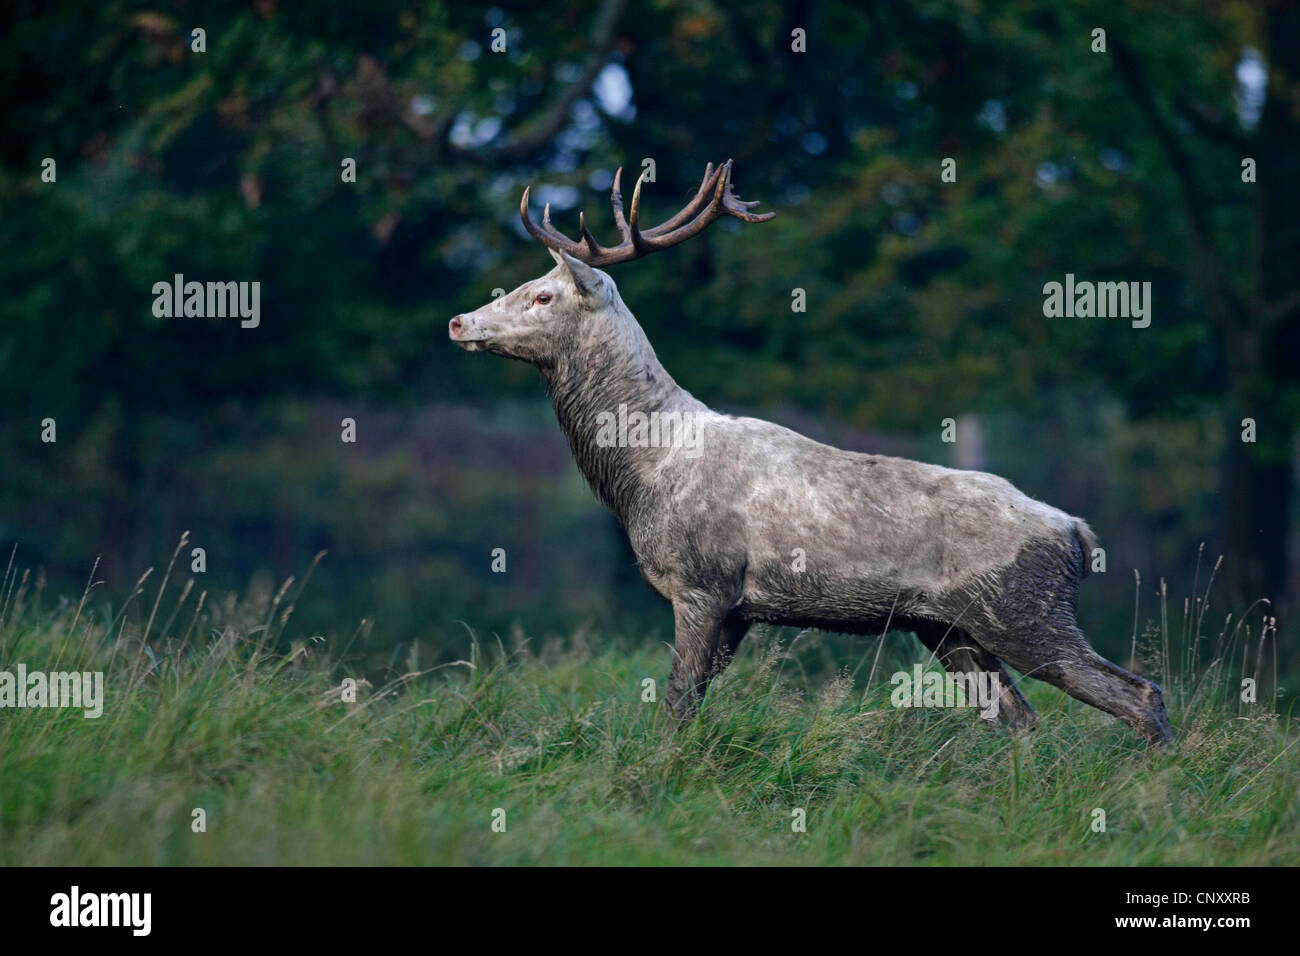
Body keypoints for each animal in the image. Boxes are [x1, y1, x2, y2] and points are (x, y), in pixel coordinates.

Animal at [449, 159, 1175, 746]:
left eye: (543, 294)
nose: (459, 321)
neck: (641, 477)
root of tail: (1076, 533)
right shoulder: (737, 611)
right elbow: (693, 704)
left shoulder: (702, 583)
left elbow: (677, 706)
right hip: (949, 627)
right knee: (1020, 720)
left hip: (1023, 609)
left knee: (1139, 692)